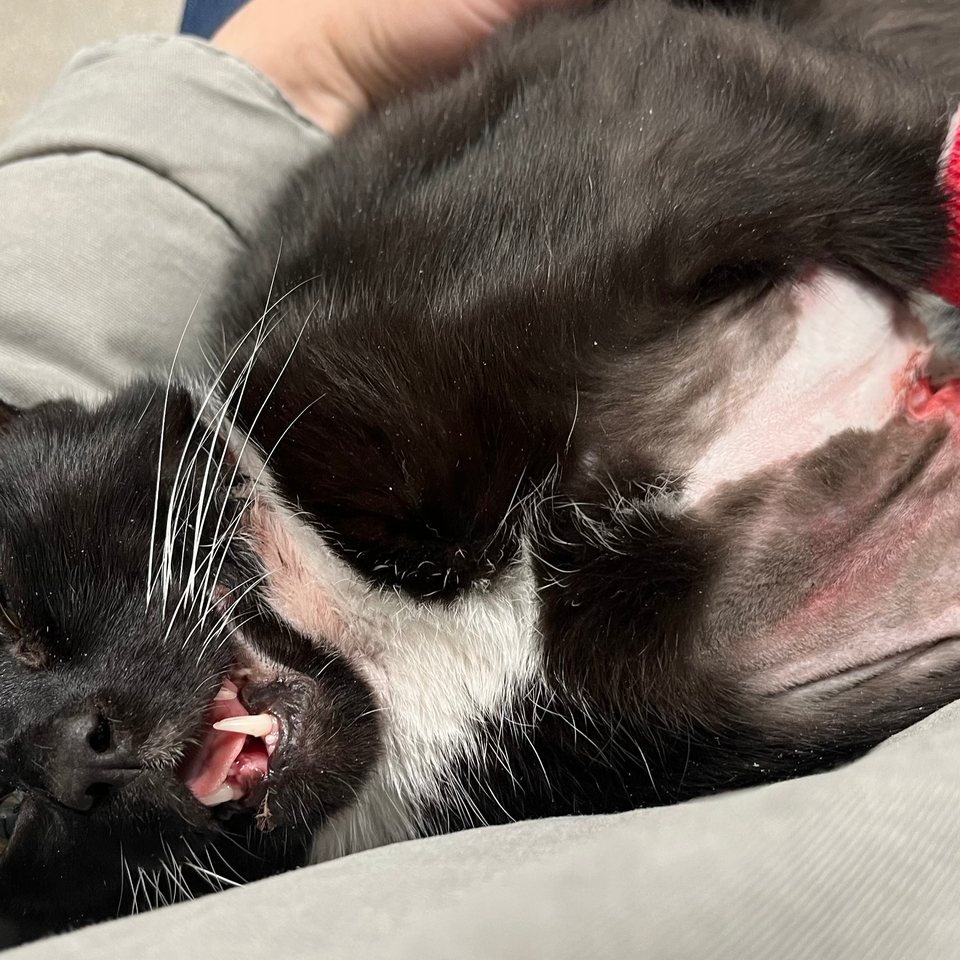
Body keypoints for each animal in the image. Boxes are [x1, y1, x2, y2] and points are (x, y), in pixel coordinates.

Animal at [1, 0, 960, 943]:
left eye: (16, 626)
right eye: (11, 817)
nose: (76, 751)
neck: (388, 643)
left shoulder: (675, 104)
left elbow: (896, 155)